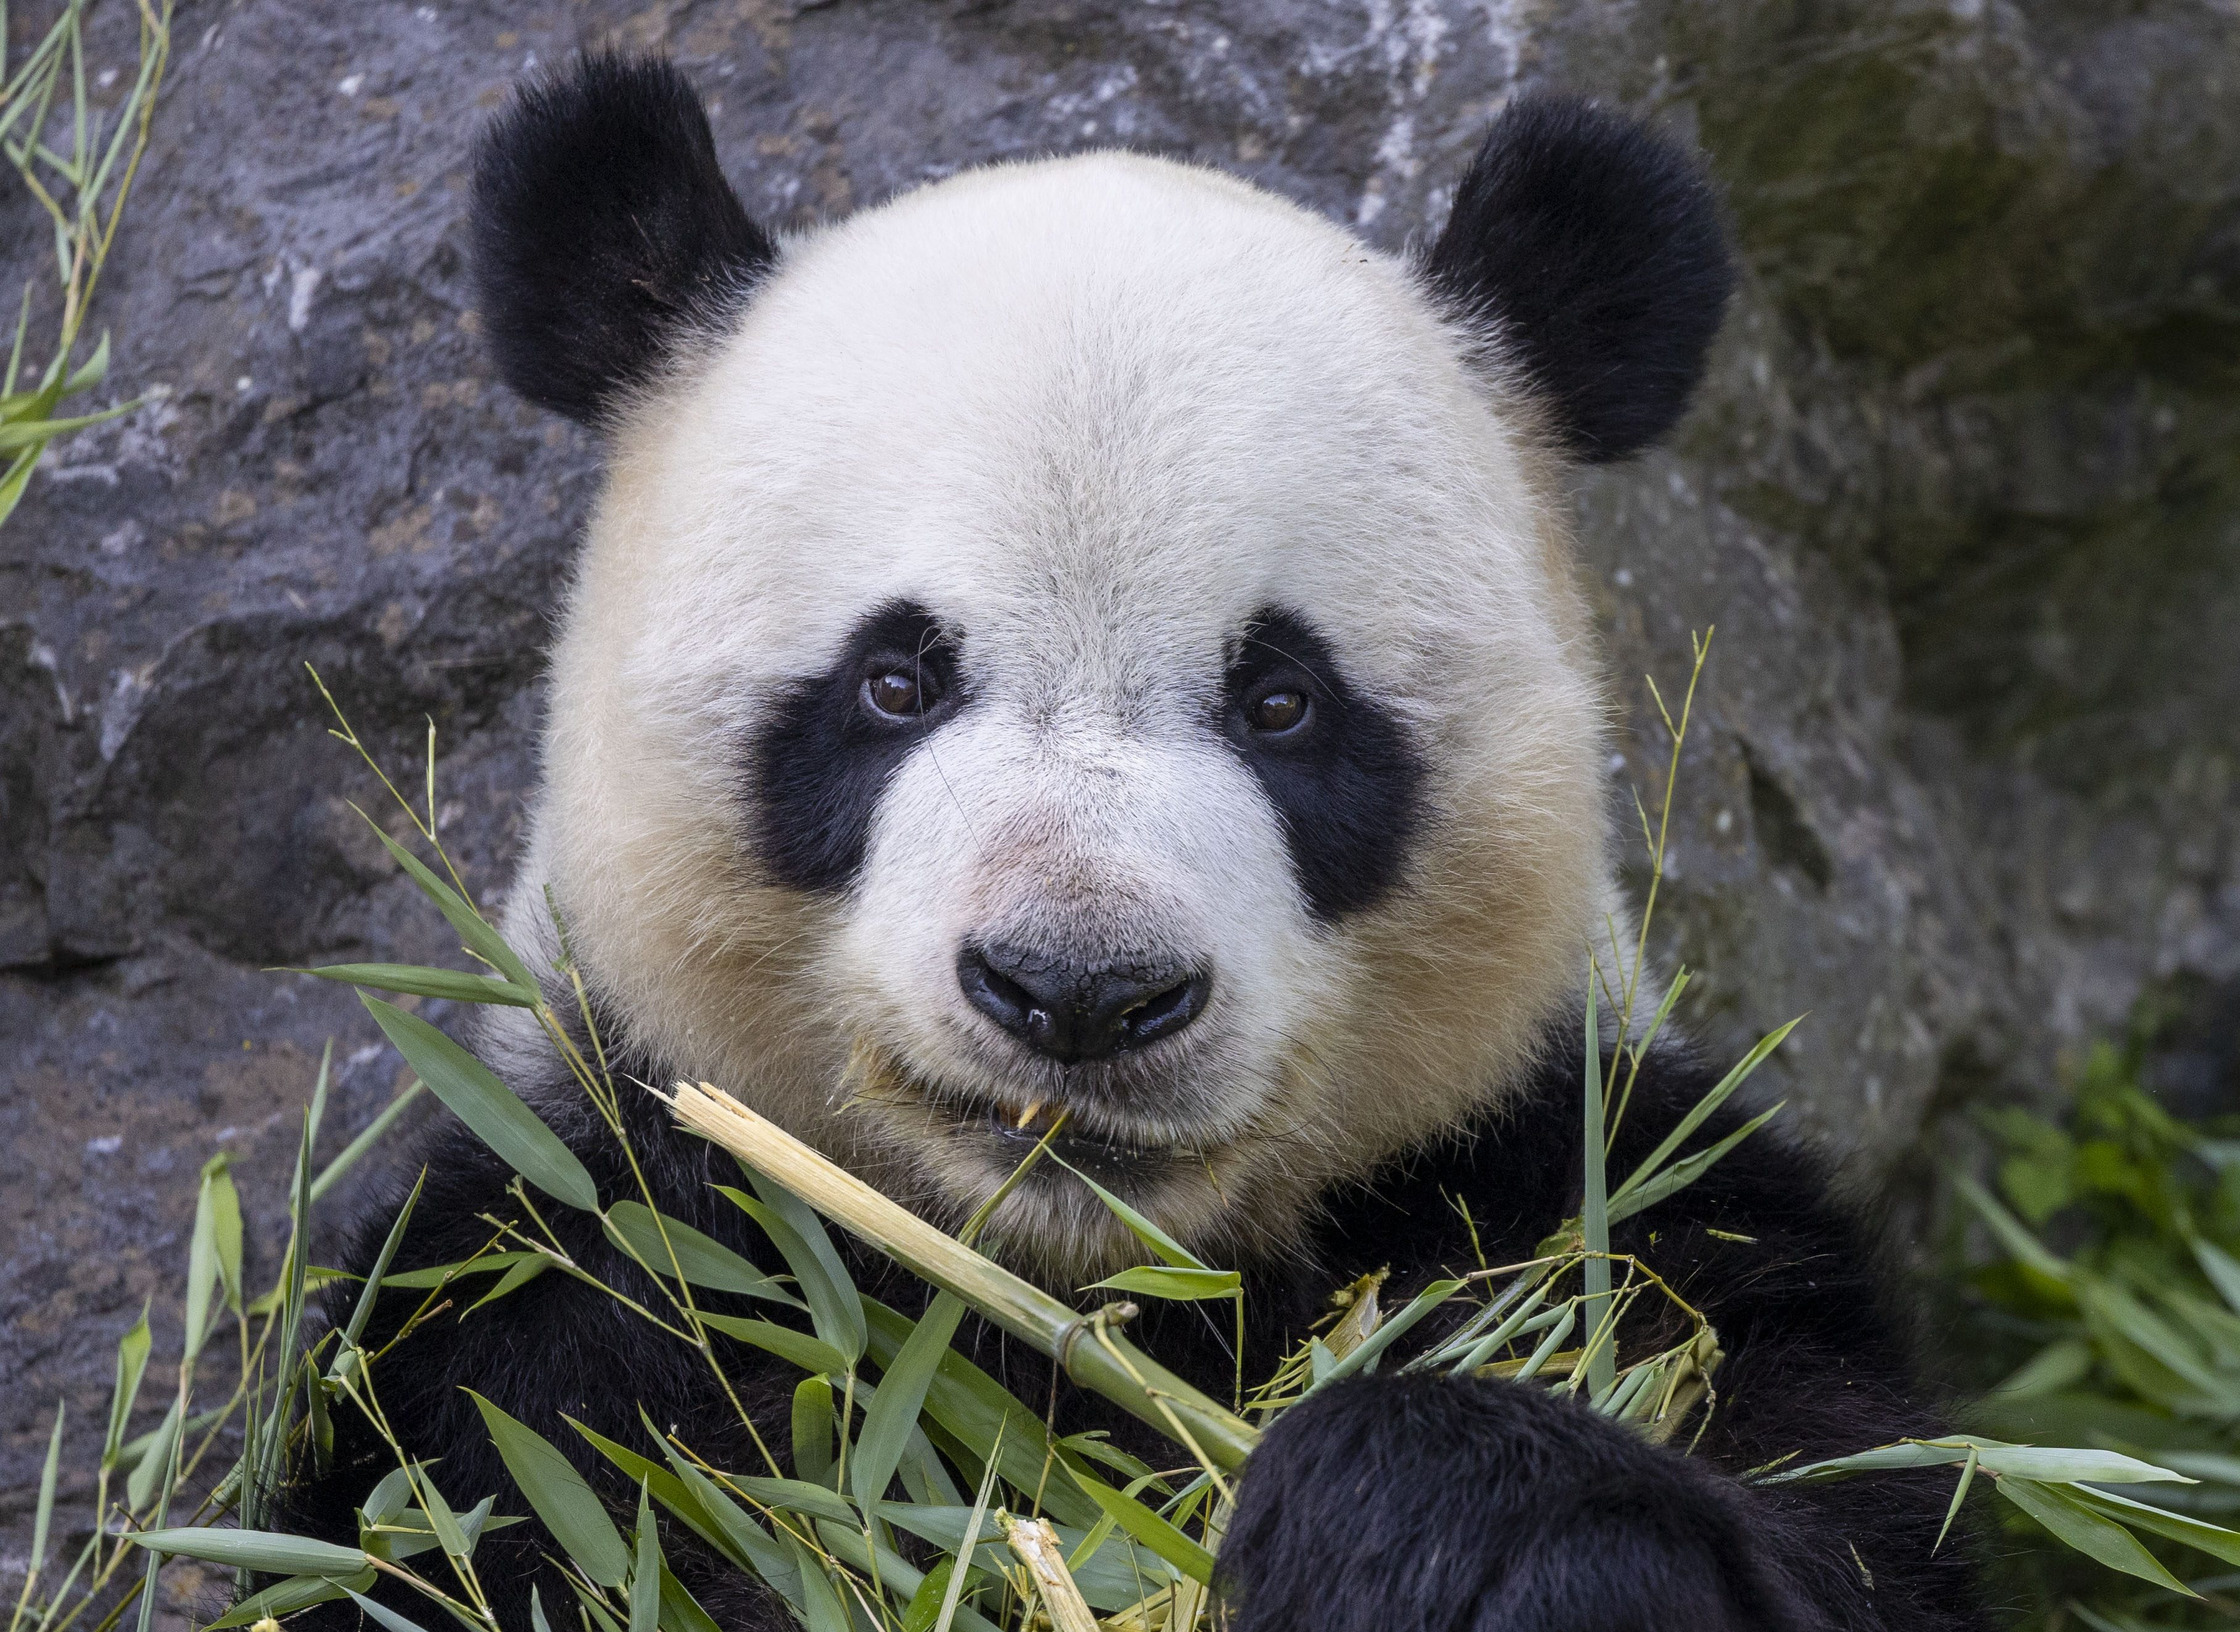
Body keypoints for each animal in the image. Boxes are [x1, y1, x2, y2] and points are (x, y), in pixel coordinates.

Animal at [284, 53, 1983, 1632]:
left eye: (1284, 701)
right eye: (895, 680)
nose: (1080, 990)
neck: (1075, 1287)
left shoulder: (1603, 1188)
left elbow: (1851, 1511)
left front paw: (1428, 1519)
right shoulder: (571, 1246)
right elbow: (490, 1509)